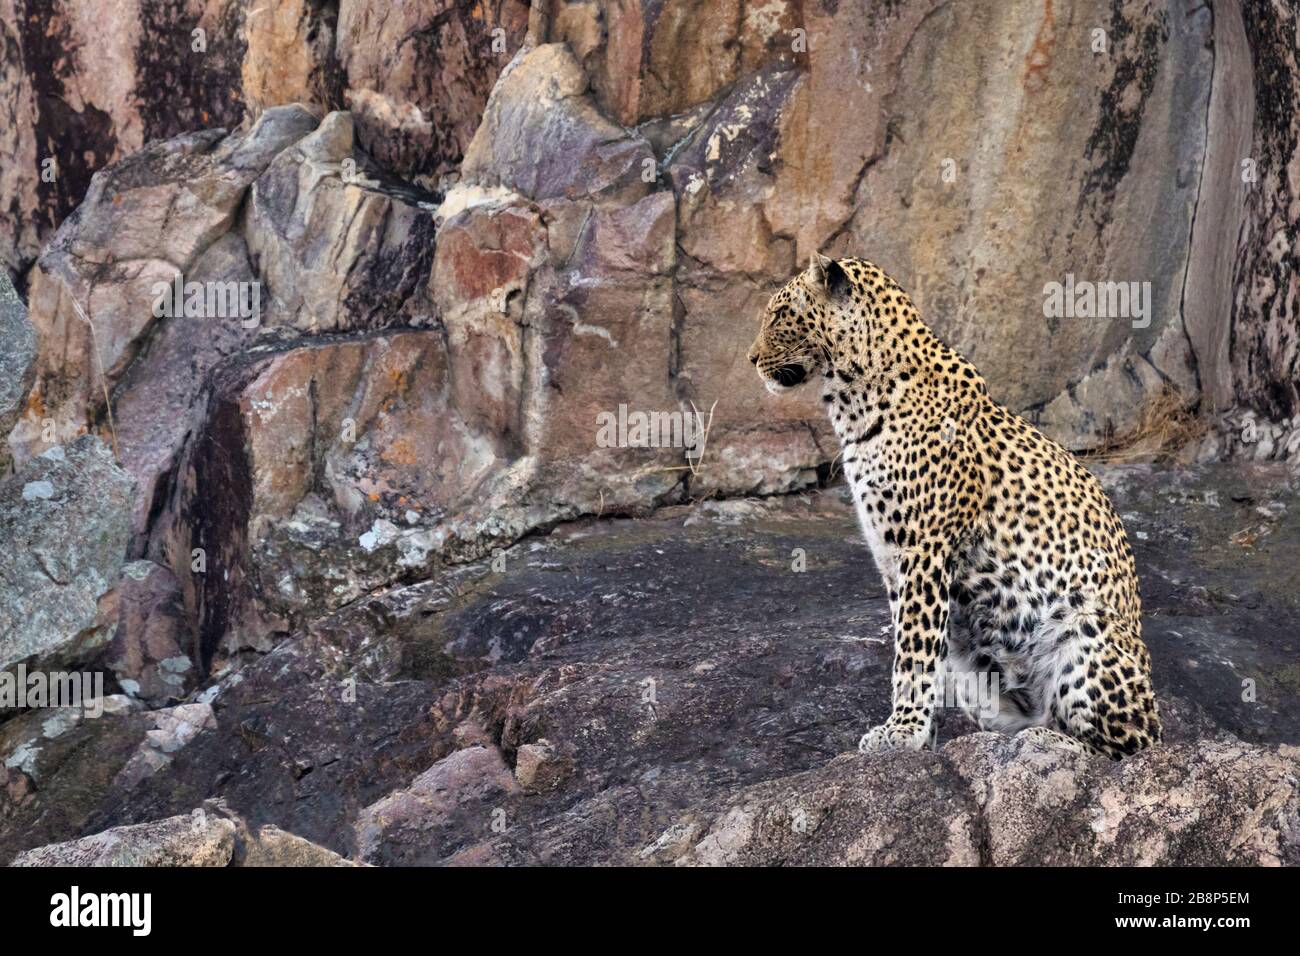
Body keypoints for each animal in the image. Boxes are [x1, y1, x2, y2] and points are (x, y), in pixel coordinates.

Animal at [747, 254, 1161, 759]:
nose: (750, 360)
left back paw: (1048, 741)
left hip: (1087, 630)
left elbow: (914, 651)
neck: (852, 400)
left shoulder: (924, 549)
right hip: (980, 671)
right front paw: (921, 736)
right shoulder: (891, 559)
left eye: (779, 315)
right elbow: (918, 645)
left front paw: (901, 731)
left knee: (1135, 744)